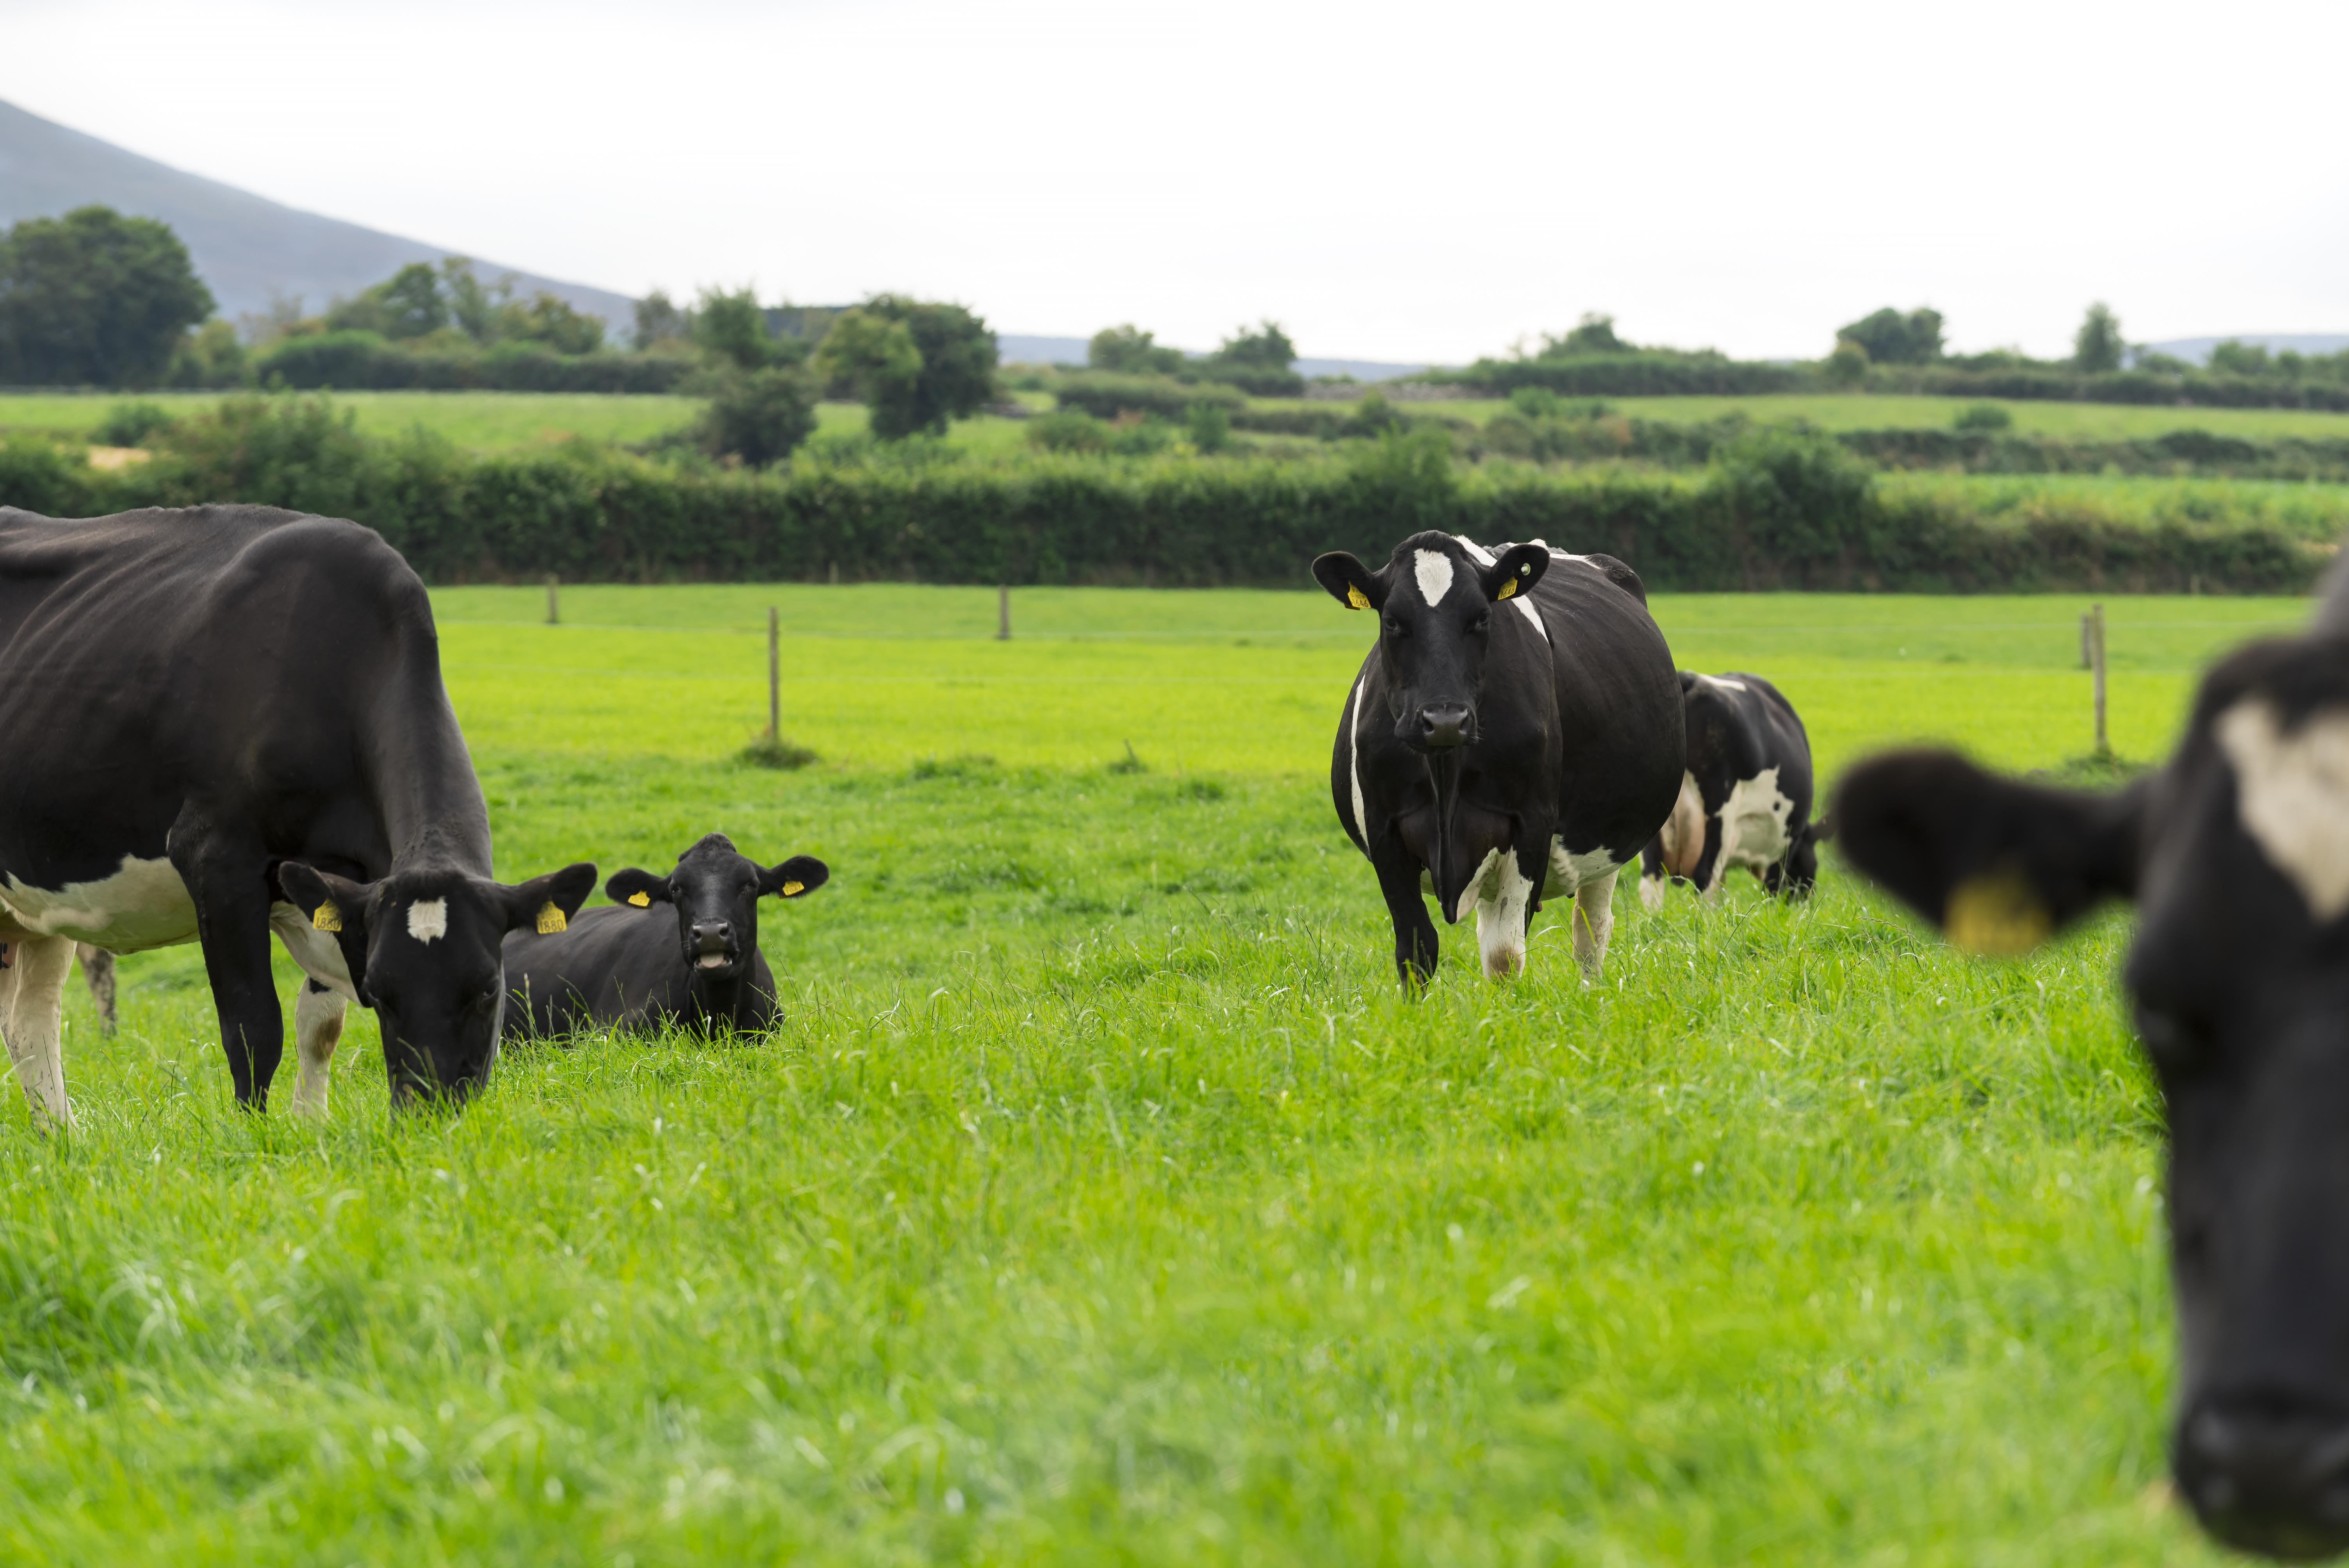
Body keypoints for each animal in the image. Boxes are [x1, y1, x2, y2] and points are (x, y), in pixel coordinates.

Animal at [0, 504, 596, 1125]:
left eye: (487, 989)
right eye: (381, 993)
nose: (428, 1115)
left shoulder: (333, 886)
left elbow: (321, 1027)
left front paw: (310, 1125)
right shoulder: (217, 858)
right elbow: (252, 1027)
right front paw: (253, 1133)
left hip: (33, 913)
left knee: (30, 1026)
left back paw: (61, 1137)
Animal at [1312, 531, 1683, 985]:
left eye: (1483, 618)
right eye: (1392, 621)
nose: (1445, 721)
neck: (1445, 775)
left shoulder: (1531, 824)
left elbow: (1504, 956)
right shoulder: (1385, 828)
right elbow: (1416, 949)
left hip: (1609, 842)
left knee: (1591, 930)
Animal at [1639, 670, 1829, 907]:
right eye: (1814, 865)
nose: (1806, 899)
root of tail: (1689, 679)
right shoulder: (1787, 840)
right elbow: (1773, 887)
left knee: (1652, 880)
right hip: (1721, 814)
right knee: (1705, 877)